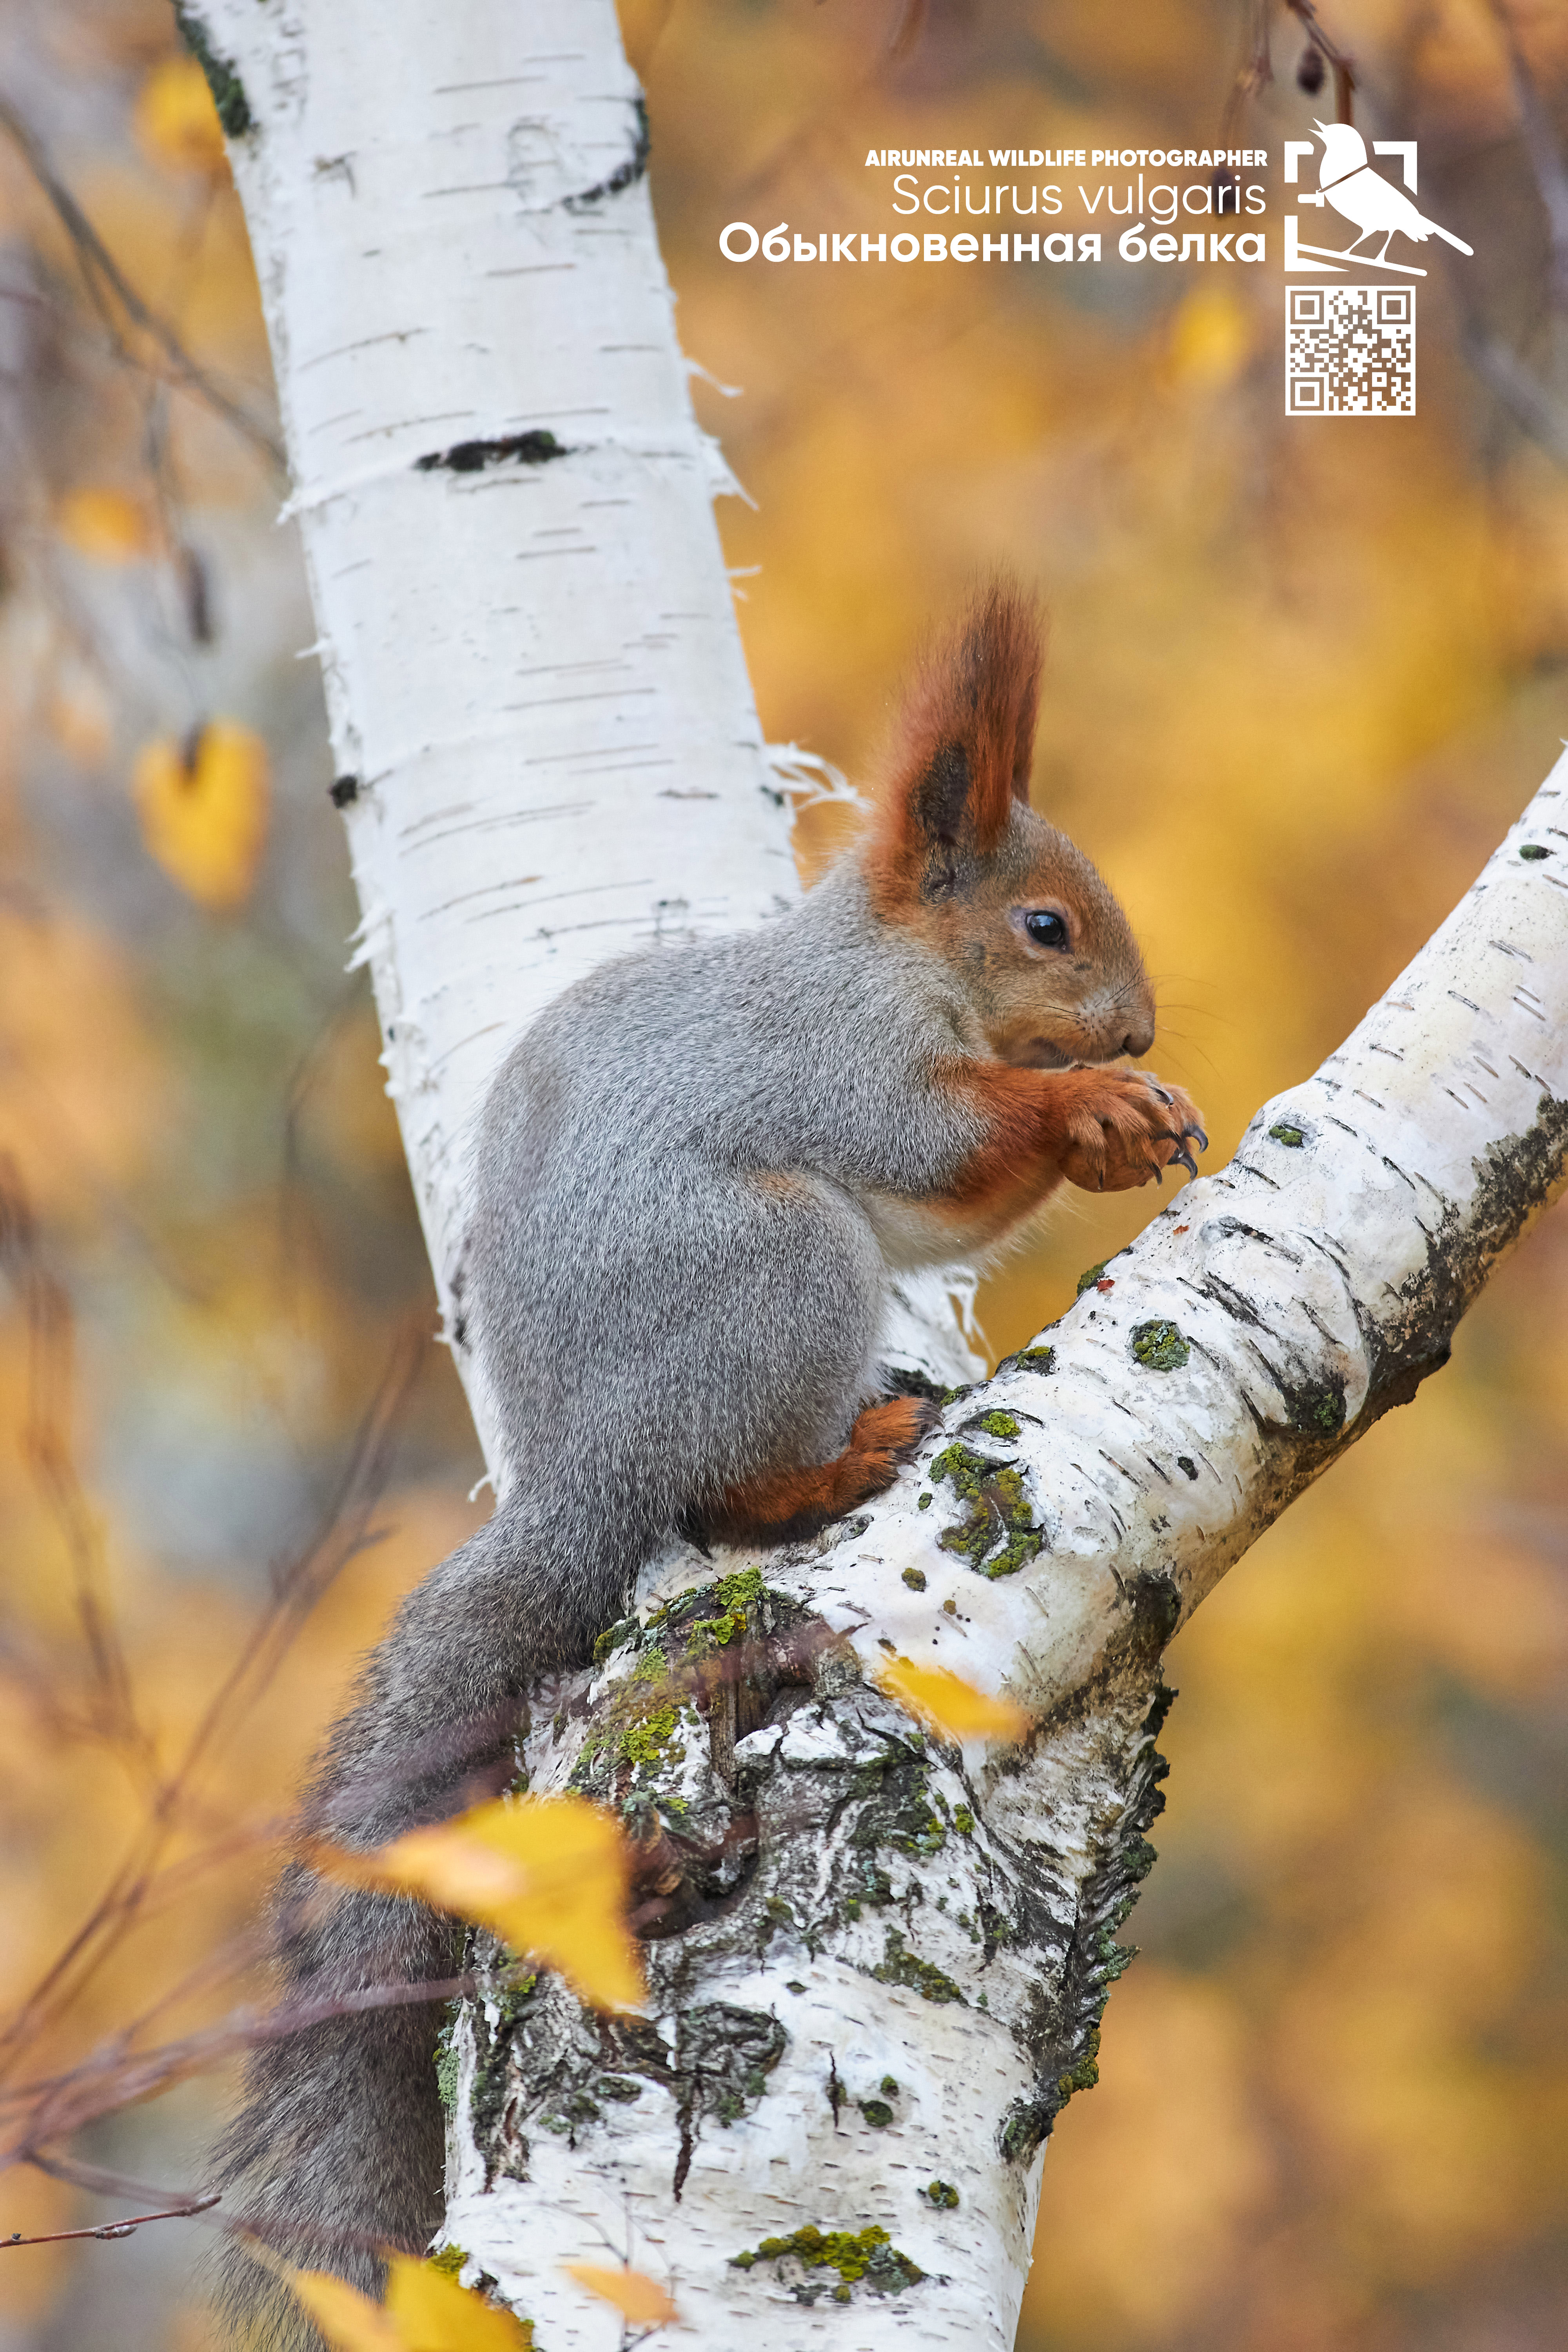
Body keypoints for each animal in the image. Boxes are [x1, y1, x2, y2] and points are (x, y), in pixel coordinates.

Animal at [215, 583, 1213, 2333]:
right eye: (1045, 928)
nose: (1142, 1023)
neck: (887, 966)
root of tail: (579, 1479)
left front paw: (1122, 1108)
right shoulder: (846, 1070)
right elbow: (946, 1144)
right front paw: (1097, 1101)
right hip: (790, 1263)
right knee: (720, 1495)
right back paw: (835, 1462)